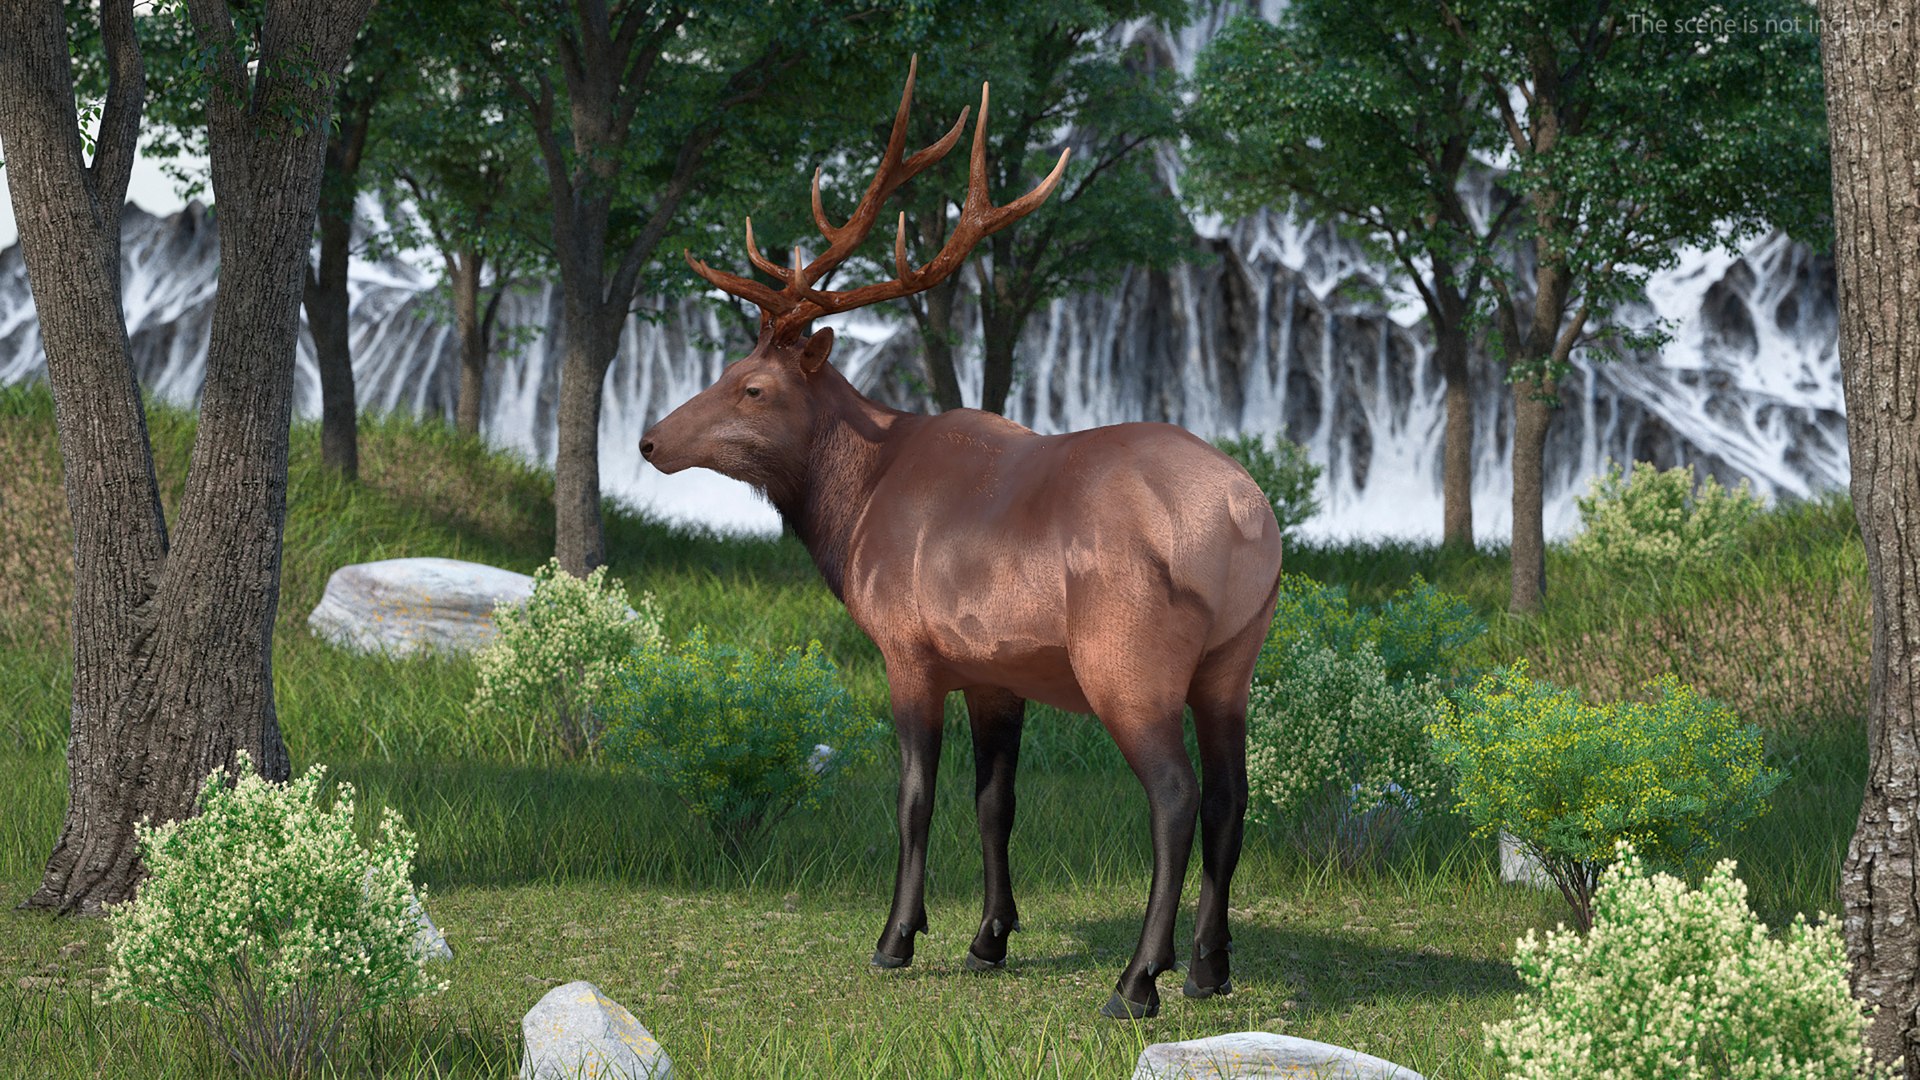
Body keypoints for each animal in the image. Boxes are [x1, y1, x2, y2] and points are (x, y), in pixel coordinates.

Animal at [639, 59, 1283, 1020]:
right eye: (724, 369)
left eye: (753, 387)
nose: (649, 440)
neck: (852, 514)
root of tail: (1243, 520)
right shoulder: (995, 669)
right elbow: (994, 803)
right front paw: (990, 939)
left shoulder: (908, 646)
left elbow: (914, 798)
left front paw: (896, 939)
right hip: (1233, 658)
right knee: (1230, 797)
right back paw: (1210, 967)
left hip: (1128, 657)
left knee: (1173, 797)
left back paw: (1138, 981)